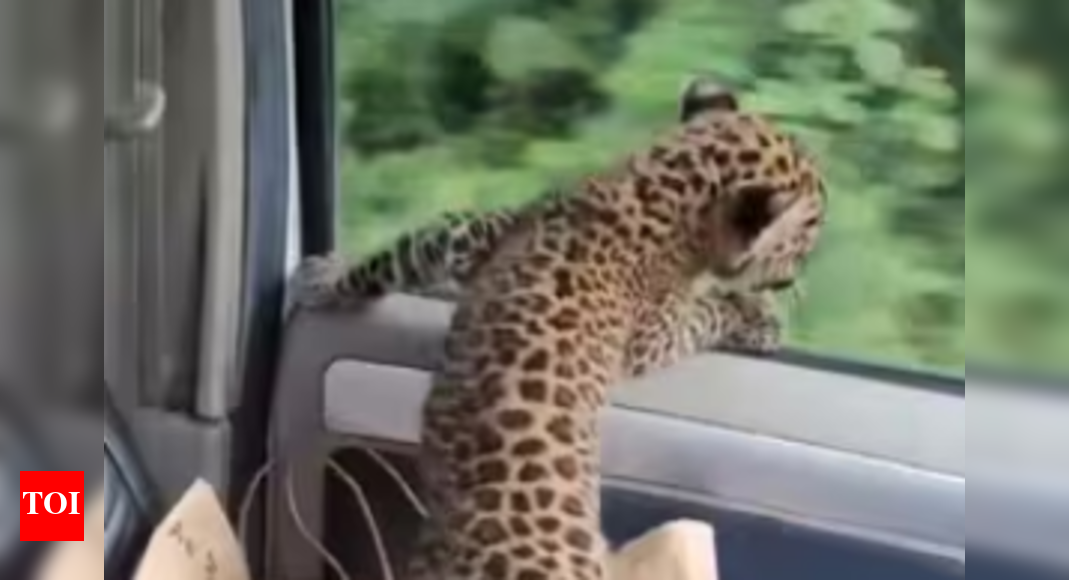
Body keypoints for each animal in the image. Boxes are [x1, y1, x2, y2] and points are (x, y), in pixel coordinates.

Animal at [293, 77, 826, 580]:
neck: (664, 184)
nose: (802, 274)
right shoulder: (467, 239)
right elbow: (384, 262)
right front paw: (326, 278)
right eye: (810, 228)